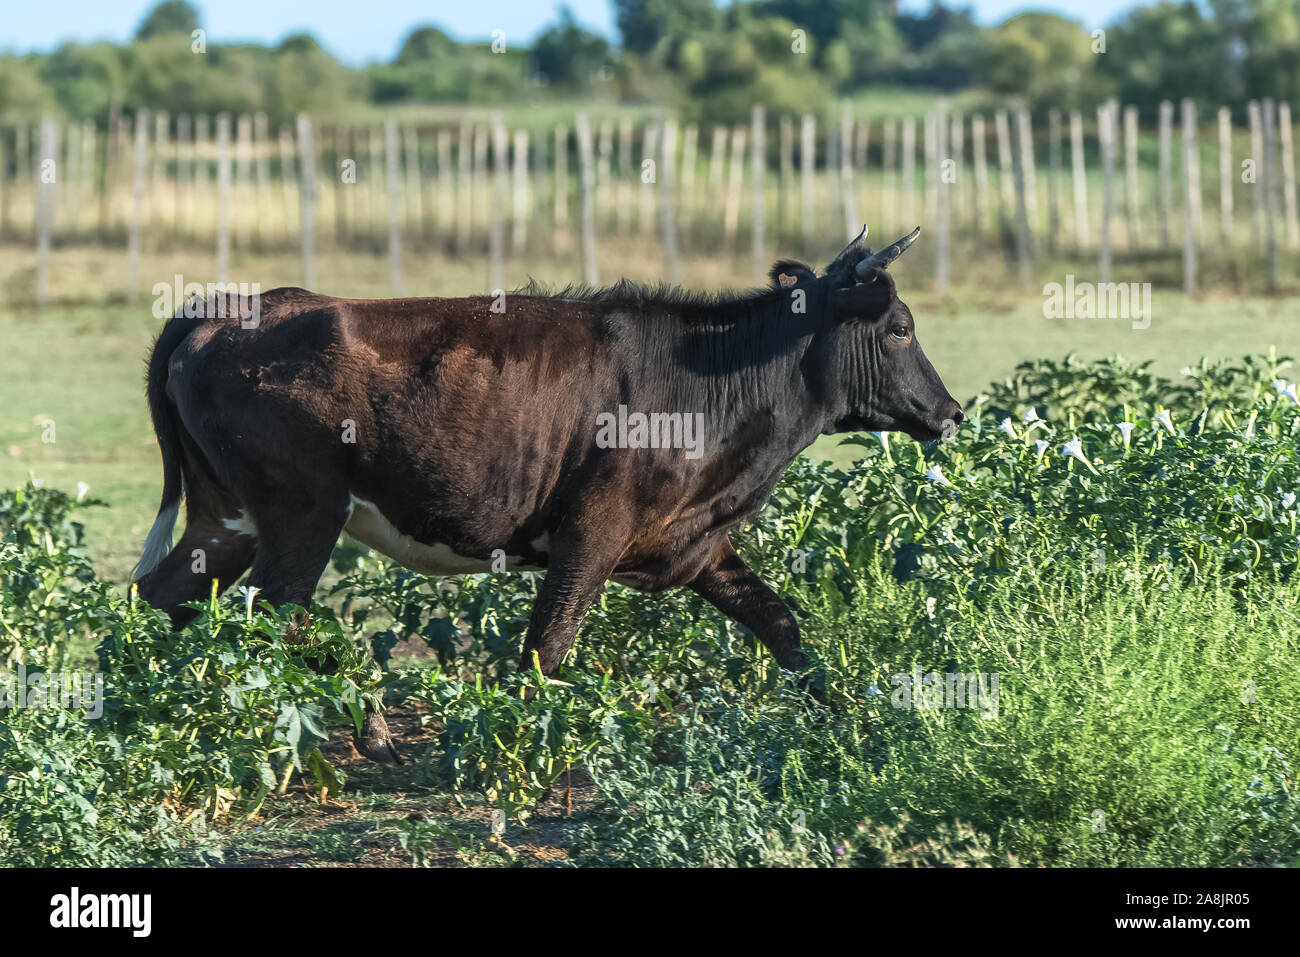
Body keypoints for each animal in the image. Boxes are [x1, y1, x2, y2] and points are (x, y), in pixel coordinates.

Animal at [132, 226, 961, 762]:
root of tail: (226, 311)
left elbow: (783, 626)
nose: (951, 412)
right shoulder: (592, 534)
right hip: (302, 513)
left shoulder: (695, 544)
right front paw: (515, 746)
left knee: (159, 599)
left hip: (228, 520)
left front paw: (850, 723)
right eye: (898, 327)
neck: (707, 381)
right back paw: (372, 727)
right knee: (282, 617)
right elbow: (548, 646)